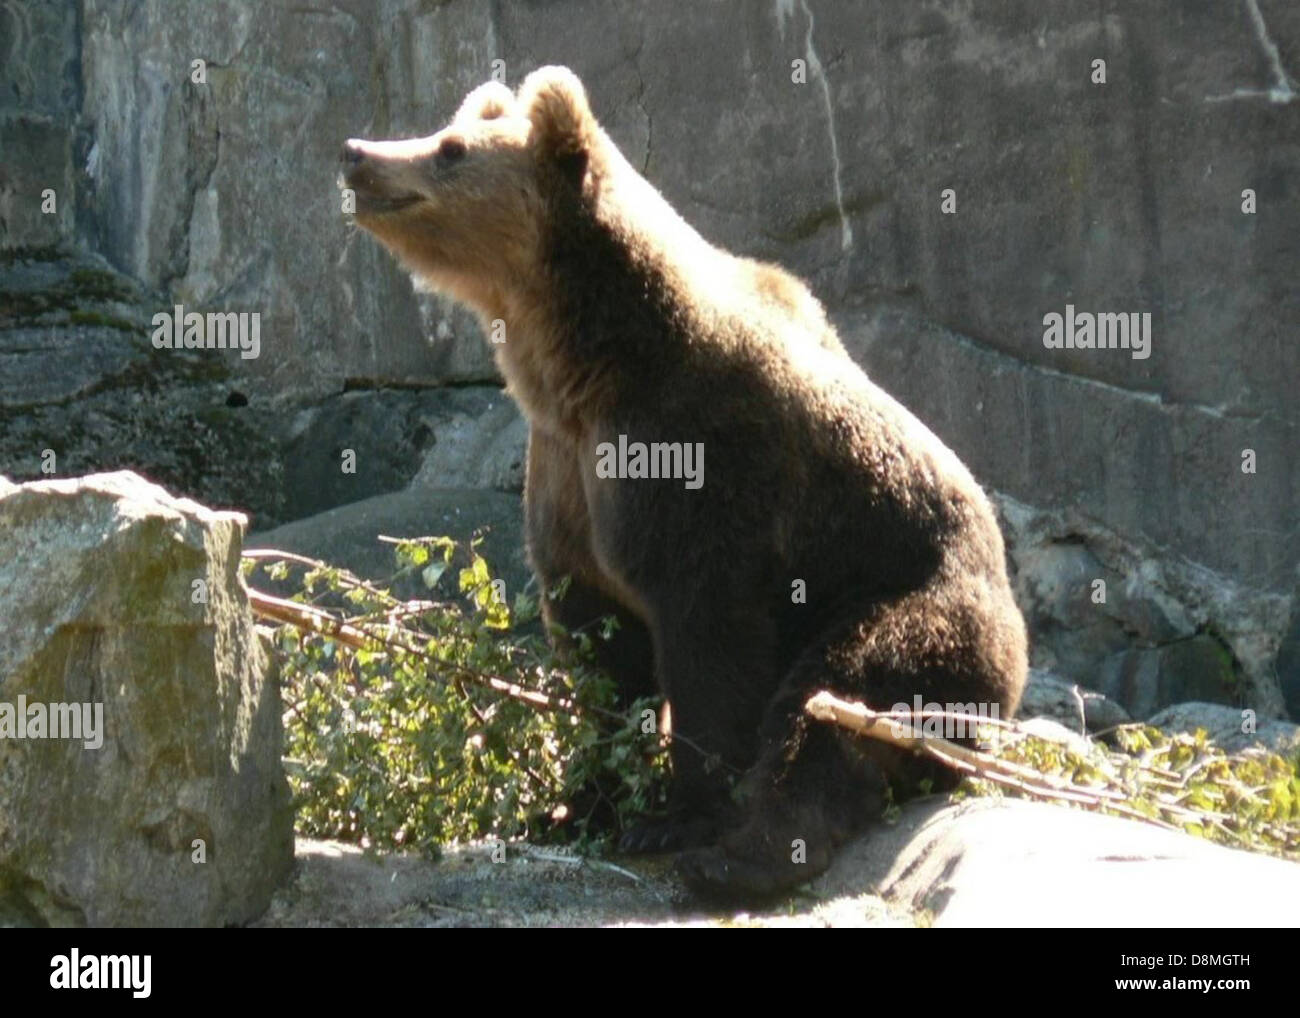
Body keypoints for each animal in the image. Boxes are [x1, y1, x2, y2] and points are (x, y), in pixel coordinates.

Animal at [340, 67, 1028, 900]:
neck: (580, 360)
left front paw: (674, 817)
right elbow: (598, 643)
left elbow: (711, 639)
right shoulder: (566, 471)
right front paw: (576, 804)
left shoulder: (701, 457)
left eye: (449, 148)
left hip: (921, 604)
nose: (357, 153)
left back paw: (743, 855)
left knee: (839, 702)